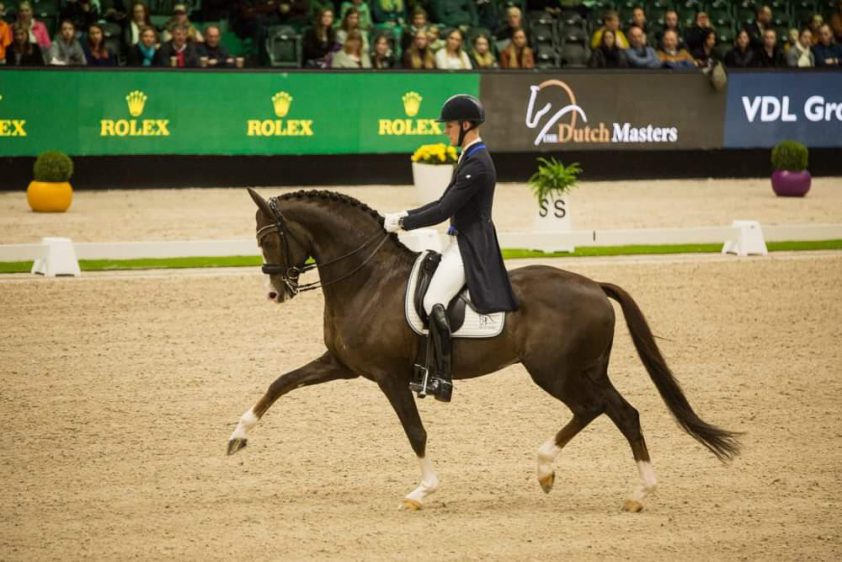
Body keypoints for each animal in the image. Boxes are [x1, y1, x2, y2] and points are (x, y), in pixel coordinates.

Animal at [228, 188, 740, 512]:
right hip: (585, 369)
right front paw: (238, 436)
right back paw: (631, 490)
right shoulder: (343, 364)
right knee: (621, 412)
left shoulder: (390, 377)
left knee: (596, 408)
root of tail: (594, 284)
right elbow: (281, 382)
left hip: (555, 372)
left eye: (268, 237)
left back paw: (551, 468)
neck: (368, 279)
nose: (275, 292)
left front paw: (422, 491)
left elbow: (415, 432)